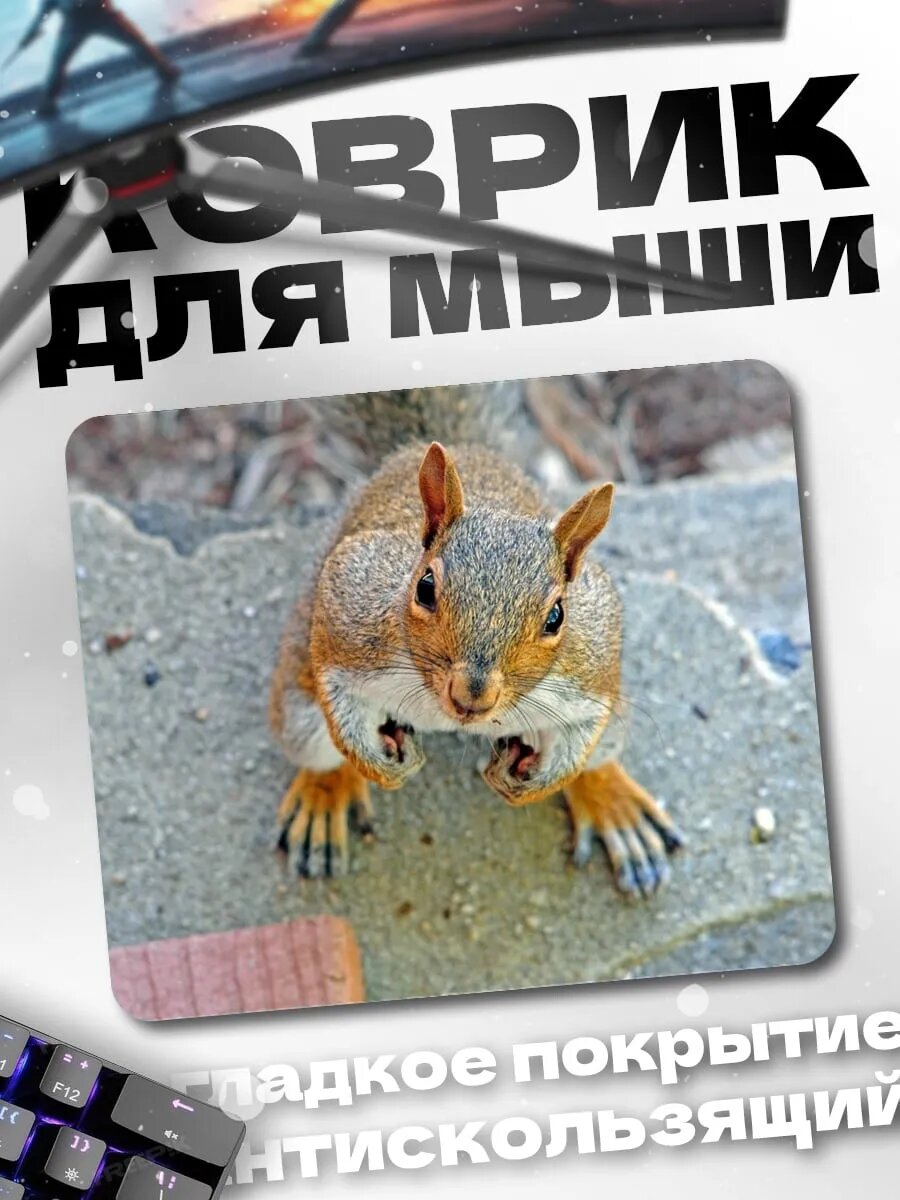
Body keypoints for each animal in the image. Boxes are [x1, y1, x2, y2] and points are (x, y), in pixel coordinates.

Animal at [269, 385, 684, 898]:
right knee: (314, 742)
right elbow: (336, 692)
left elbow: (584, 731)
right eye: (425, 587)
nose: (472, 696)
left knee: (601, 753)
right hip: (300, 705)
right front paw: (375, 764)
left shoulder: (591, 659)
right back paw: (323, 794)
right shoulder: (349, 603)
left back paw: (615, 803)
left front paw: (539, 783)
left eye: (556, 616)